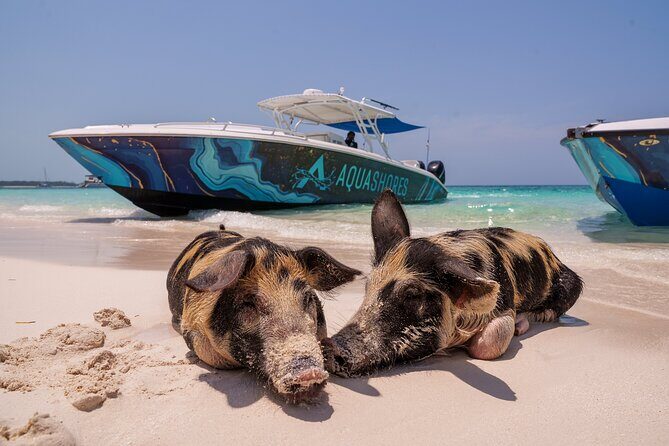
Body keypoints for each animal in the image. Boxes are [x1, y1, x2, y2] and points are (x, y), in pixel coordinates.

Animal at [323, 190, 583, 377]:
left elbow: (488, 345)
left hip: (572, 283)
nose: (332, 346)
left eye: (412, 294)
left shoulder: (505, 302)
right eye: (368, 287)